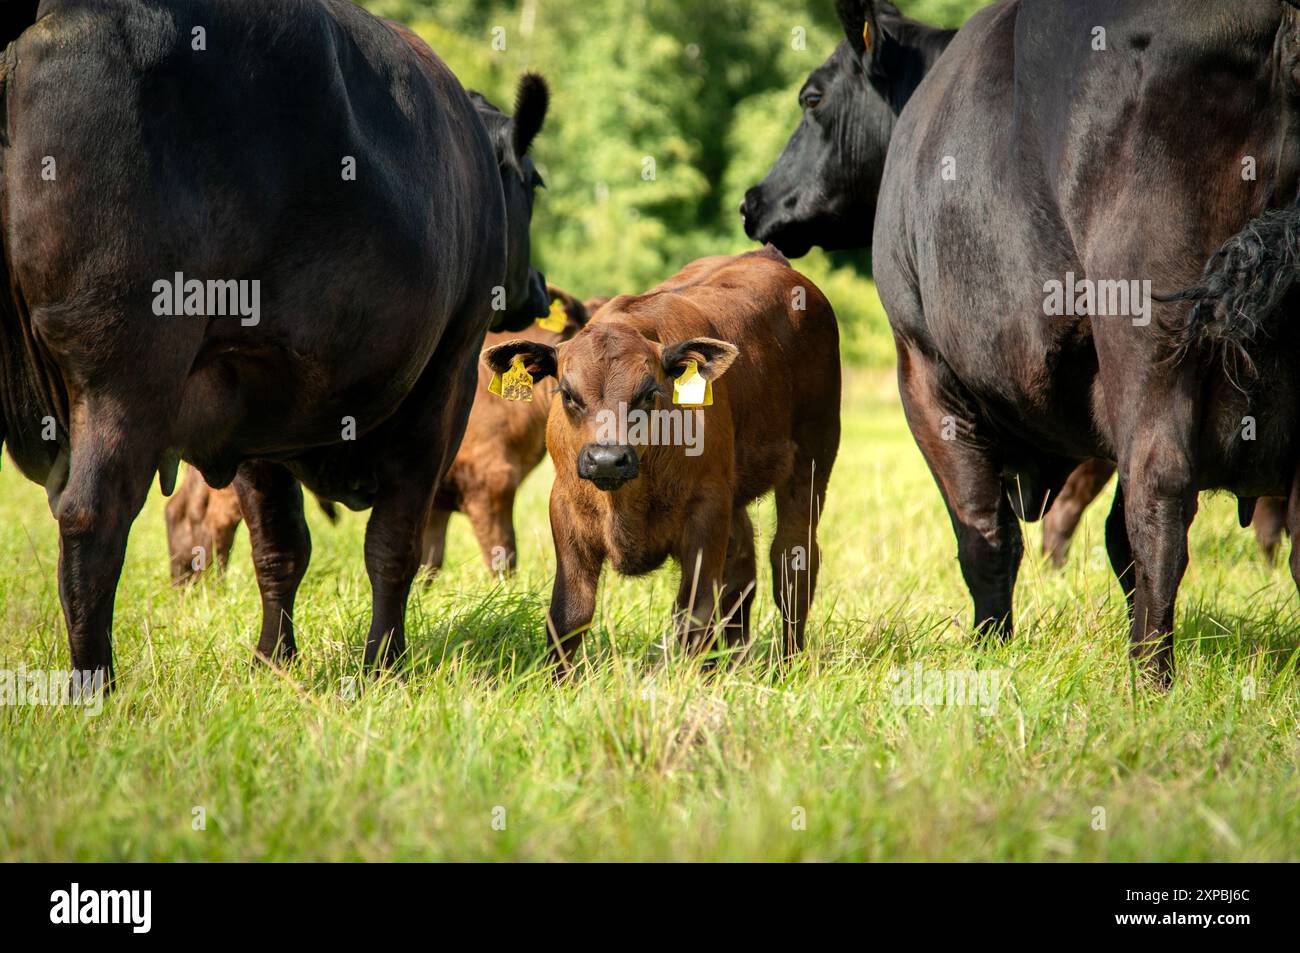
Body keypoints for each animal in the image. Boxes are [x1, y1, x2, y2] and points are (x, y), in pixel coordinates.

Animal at [0, 0, 550, 687]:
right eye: (536, 184)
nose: (540, 288)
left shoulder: (247, 402)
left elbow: (280, 546)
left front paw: (273, 660)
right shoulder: (447, 377)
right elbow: (397, 541)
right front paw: (383, 665)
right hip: (125, 365)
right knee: (93, 513)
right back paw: (95, 689)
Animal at [165, 287, 595, 582]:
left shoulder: (437, 497)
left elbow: (428, 564)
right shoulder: (490, 484)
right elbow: (502, 560)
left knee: (184, 509)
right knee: (212, 517)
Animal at [482, 247, 841, 673]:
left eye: (648, 392)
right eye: (567, 393)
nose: (607, 459)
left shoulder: (707, 510)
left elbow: (694, 613)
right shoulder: (566, 506)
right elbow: (568, 615)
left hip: (813, 455)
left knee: (792, 559)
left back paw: (787, 663)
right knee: (742, 567)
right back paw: (732, 664)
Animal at [861, 0, 1300, 683]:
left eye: (811, 98)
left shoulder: (923, 367)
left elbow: (983, 530)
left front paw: (989, 650)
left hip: (1146, 336)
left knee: (1157, 498)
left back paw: (1149, 677)